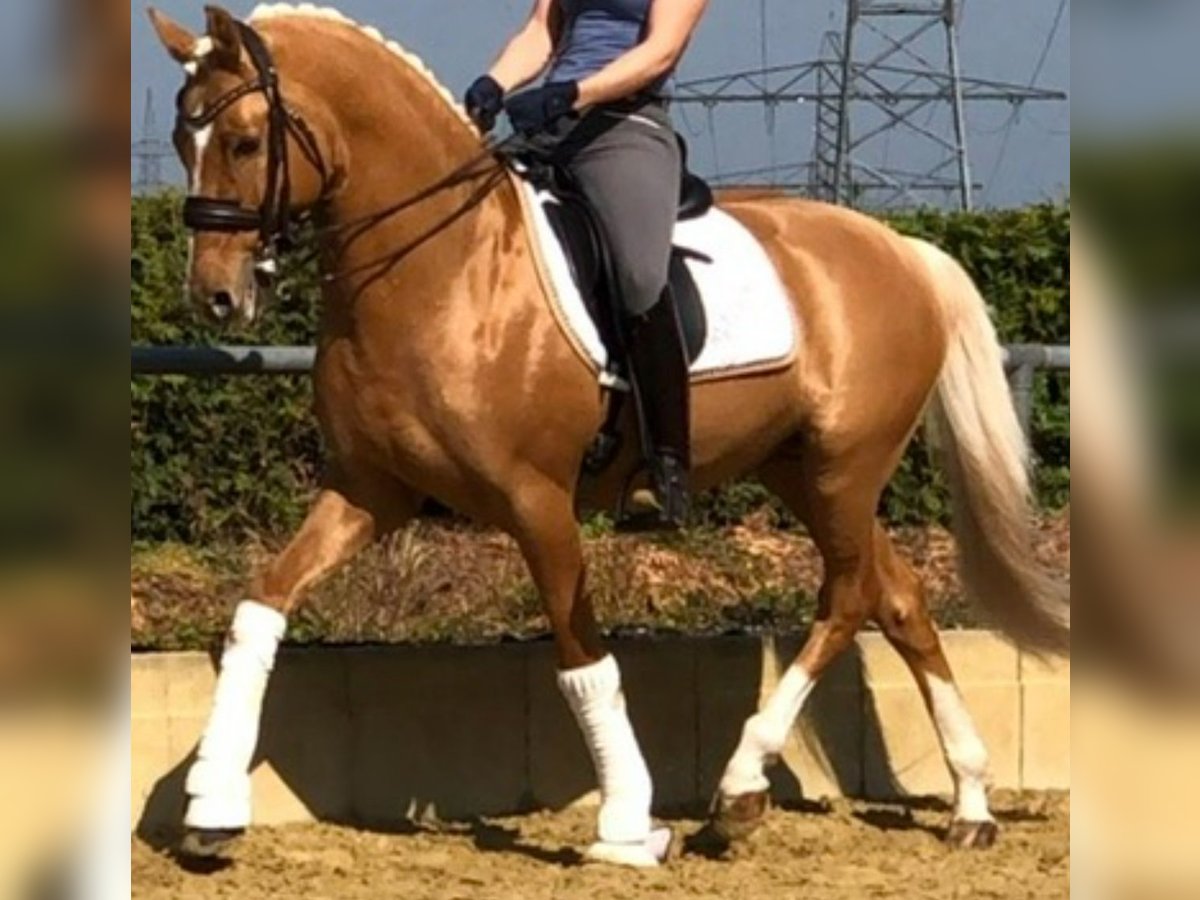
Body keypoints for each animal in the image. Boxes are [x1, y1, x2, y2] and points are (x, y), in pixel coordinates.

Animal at [147, 3, 1069, 865]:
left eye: (244, 139)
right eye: (181, 136)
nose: (216, 297)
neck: (443, 270)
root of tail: (902, 249)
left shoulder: (536, 500)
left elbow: (582, 660)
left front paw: (626, 827)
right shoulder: (368, 489)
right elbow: (259, 608)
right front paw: (210, 806)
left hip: (845, 466)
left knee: (844, 600)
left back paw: (741, 790)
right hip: (801, 471)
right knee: (898, 597)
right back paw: (970, 803)